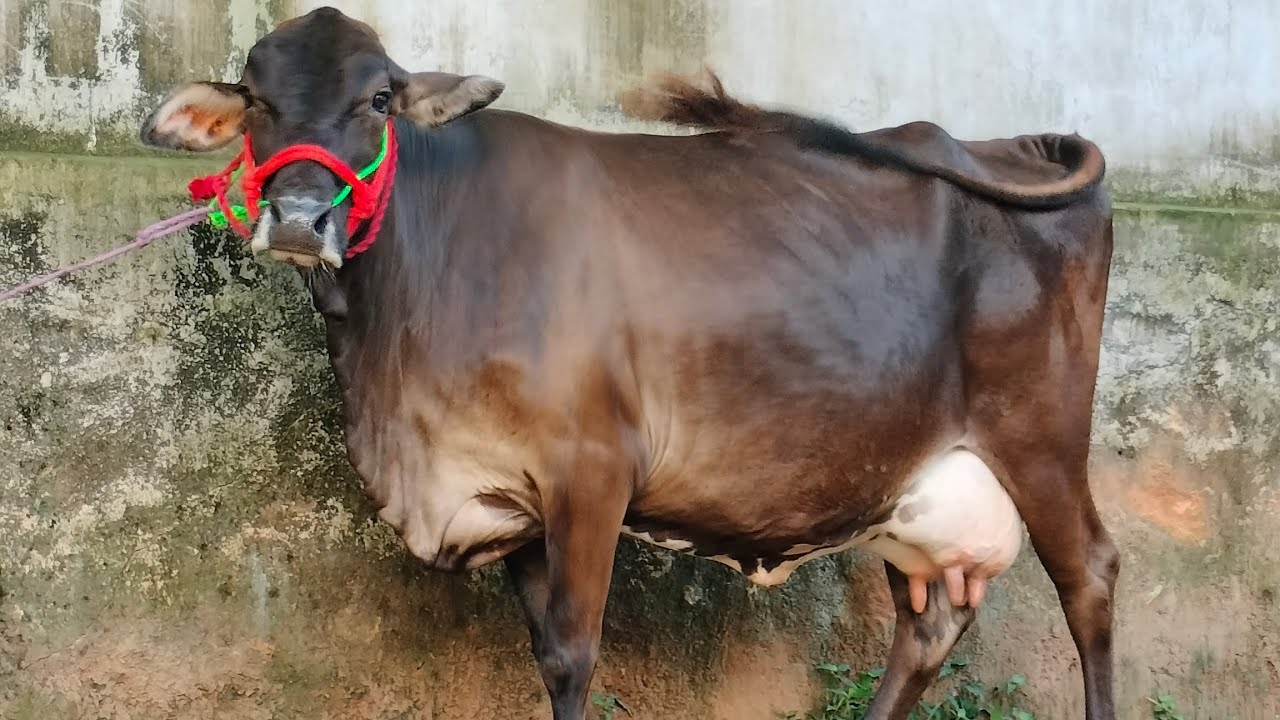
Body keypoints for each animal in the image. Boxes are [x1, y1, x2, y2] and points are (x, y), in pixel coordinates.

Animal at [136, 7, 1119, 720]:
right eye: (255, 97)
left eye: (379, 99)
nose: (301, 218)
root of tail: (1004, 143)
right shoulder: (517, 501)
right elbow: (544, 651)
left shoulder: (591, 470)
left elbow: (574, 656)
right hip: (906, 483)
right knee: (928, 624)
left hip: (1041, 441)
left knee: (1090, 581)